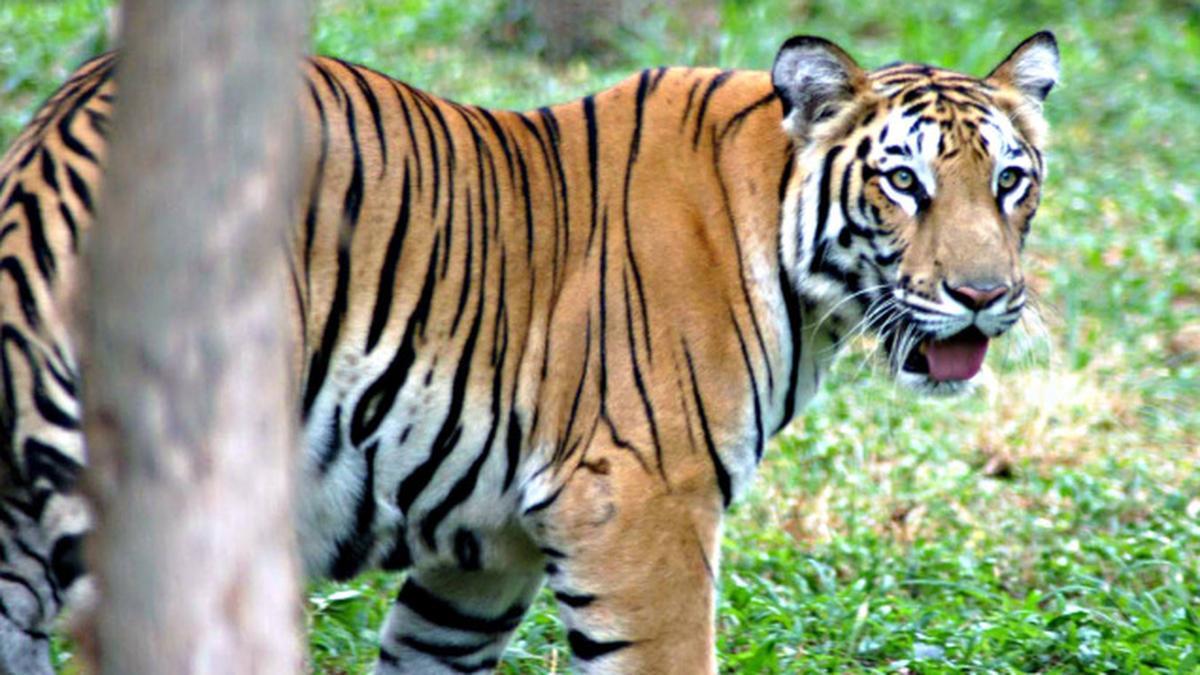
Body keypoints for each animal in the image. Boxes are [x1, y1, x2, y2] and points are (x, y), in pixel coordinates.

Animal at [0, 29, 1058, 673]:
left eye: (1011, 181)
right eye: (904, 183)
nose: (984, 296)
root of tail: (51, 149)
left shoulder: (481, 556)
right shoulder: (642, 506)